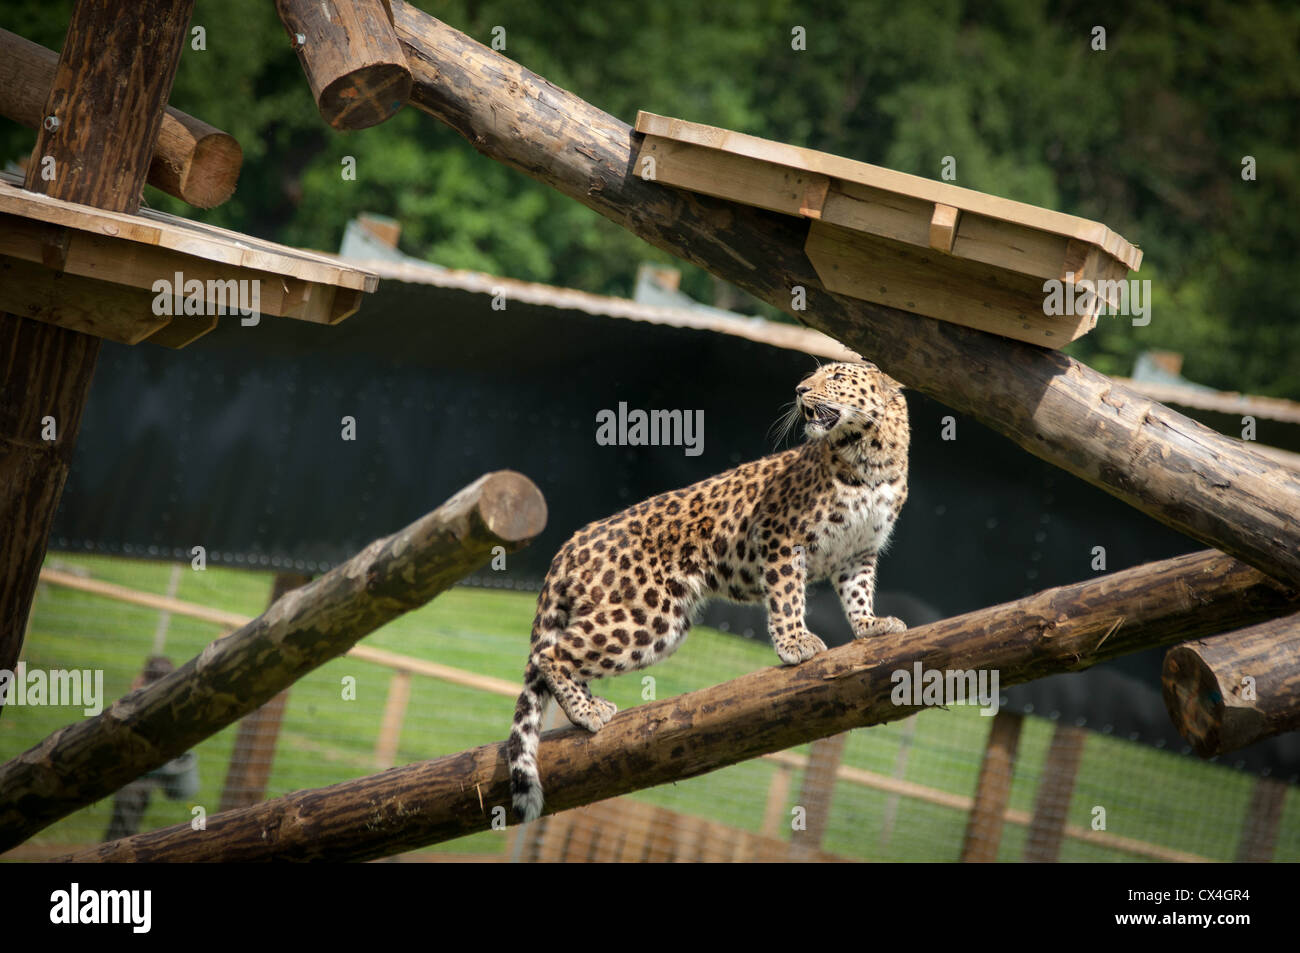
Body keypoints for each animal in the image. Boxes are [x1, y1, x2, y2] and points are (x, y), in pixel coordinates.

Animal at [507, 360, 910, 822]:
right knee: (550, 654)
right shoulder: (780, 536)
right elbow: (787, 596)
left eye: (837, 377)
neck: (871, 461)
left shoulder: (859, 552)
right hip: (647, 614)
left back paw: (588, 710)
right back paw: (587, 711)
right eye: (817, 376)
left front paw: (870, 626)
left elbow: (858, 595)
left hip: (653, 628)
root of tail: (569, 544)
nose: (799, 389)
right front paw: (795, 643)